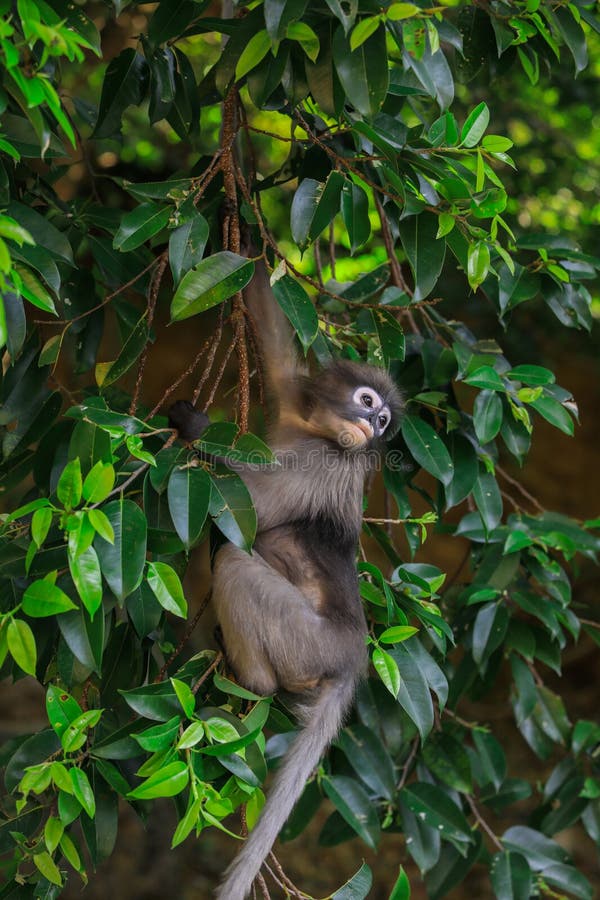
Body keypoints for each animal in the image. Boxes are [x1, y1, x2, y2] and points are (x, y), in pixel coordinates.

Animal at [171, 256, 403, 900]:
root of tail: (354, 656)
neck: (319, 433)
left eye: (384, 422)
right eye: (368, 403)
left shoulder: (330, 466)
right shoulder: (294, 396)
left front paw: (193, 426)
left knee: (234, 560)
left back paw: (248, 678)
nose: (374, 427)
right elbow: (274, 339)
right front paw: (250, 244)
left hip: (305, 640)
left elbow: (253, 501)